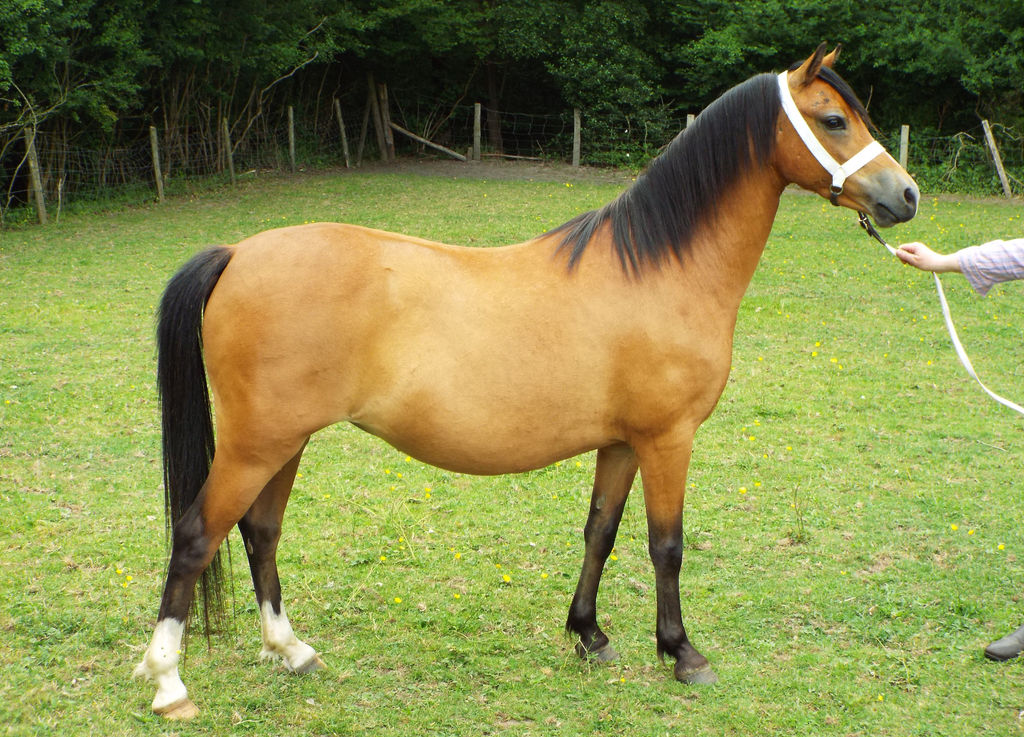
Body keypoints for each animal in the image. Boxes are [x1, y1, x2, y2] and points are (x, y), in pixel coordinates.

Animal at [134, 44, 918, 719]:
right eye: (834, 119)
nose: (905, 195)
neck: (660, 268)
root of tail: (237, 253)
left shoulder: (622, 442)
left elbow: (601, 531)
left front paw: (589, 634)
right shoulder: (669, 438)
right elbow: (666, 544)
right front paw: (682, 653)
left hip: (284, 441)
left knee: (260, 531)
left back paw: (290, 649)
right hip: (256, 443)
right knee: (197, 535)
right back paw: (169, 683)